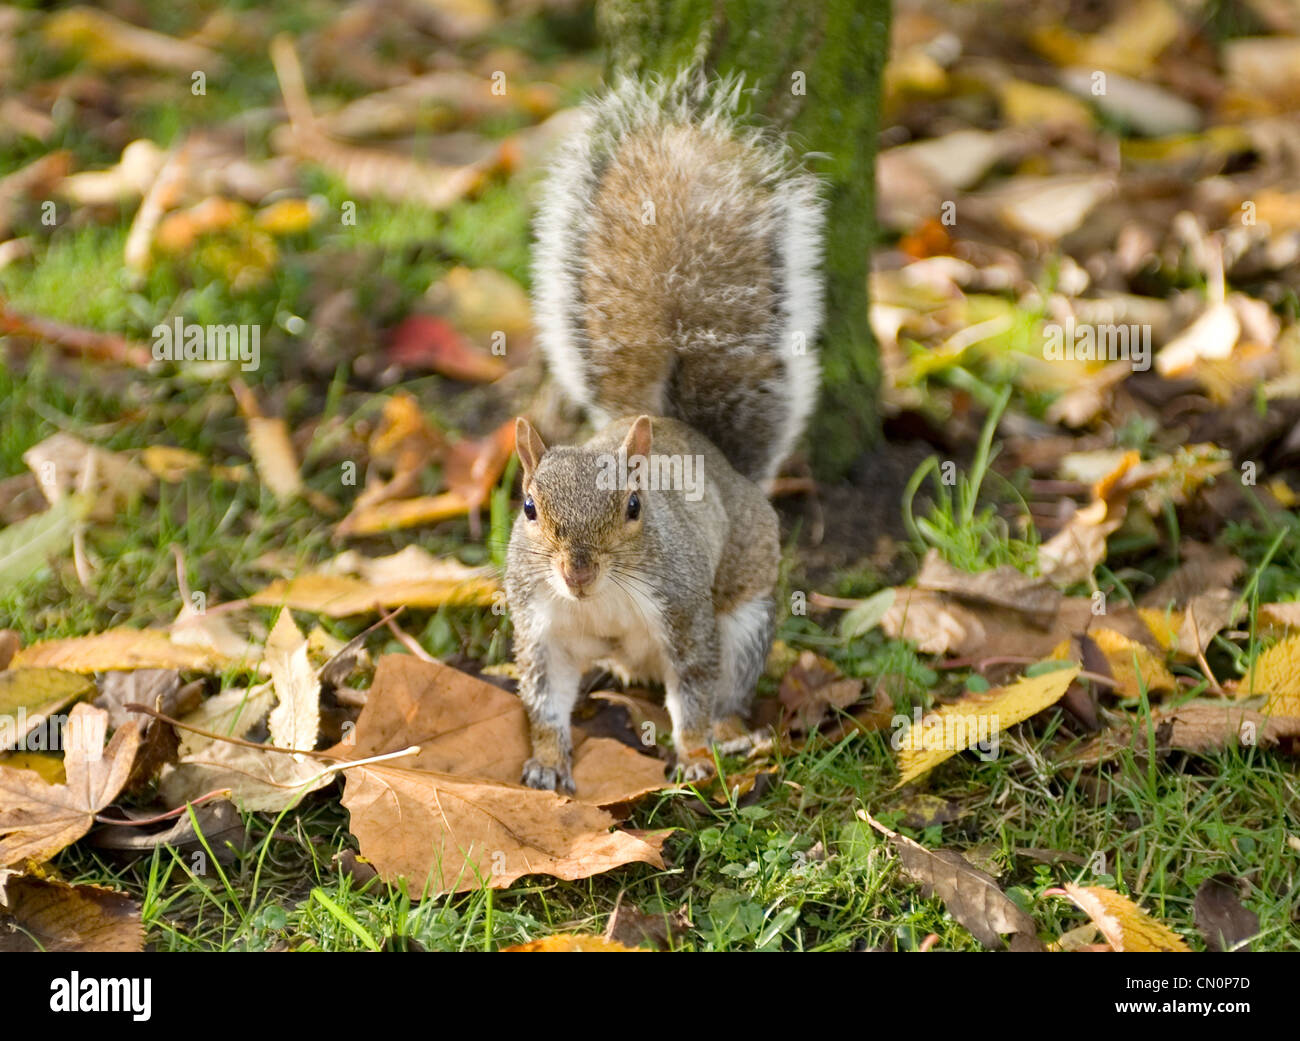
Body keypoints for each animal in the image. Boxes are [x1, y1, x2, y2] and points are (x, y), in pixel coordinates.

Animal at [505, 72, 825, 794]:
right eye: (529, 507)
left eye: (634, 506)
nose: (578, 571)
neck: (598, 598)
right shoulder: (541, 627)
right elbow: (543, 698)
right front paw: (546, 760)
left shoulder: (683, 613)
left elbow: (694, 687)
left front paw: (697, 752)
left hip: (746, 610)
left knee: (729, 685)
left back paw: (732, 733)